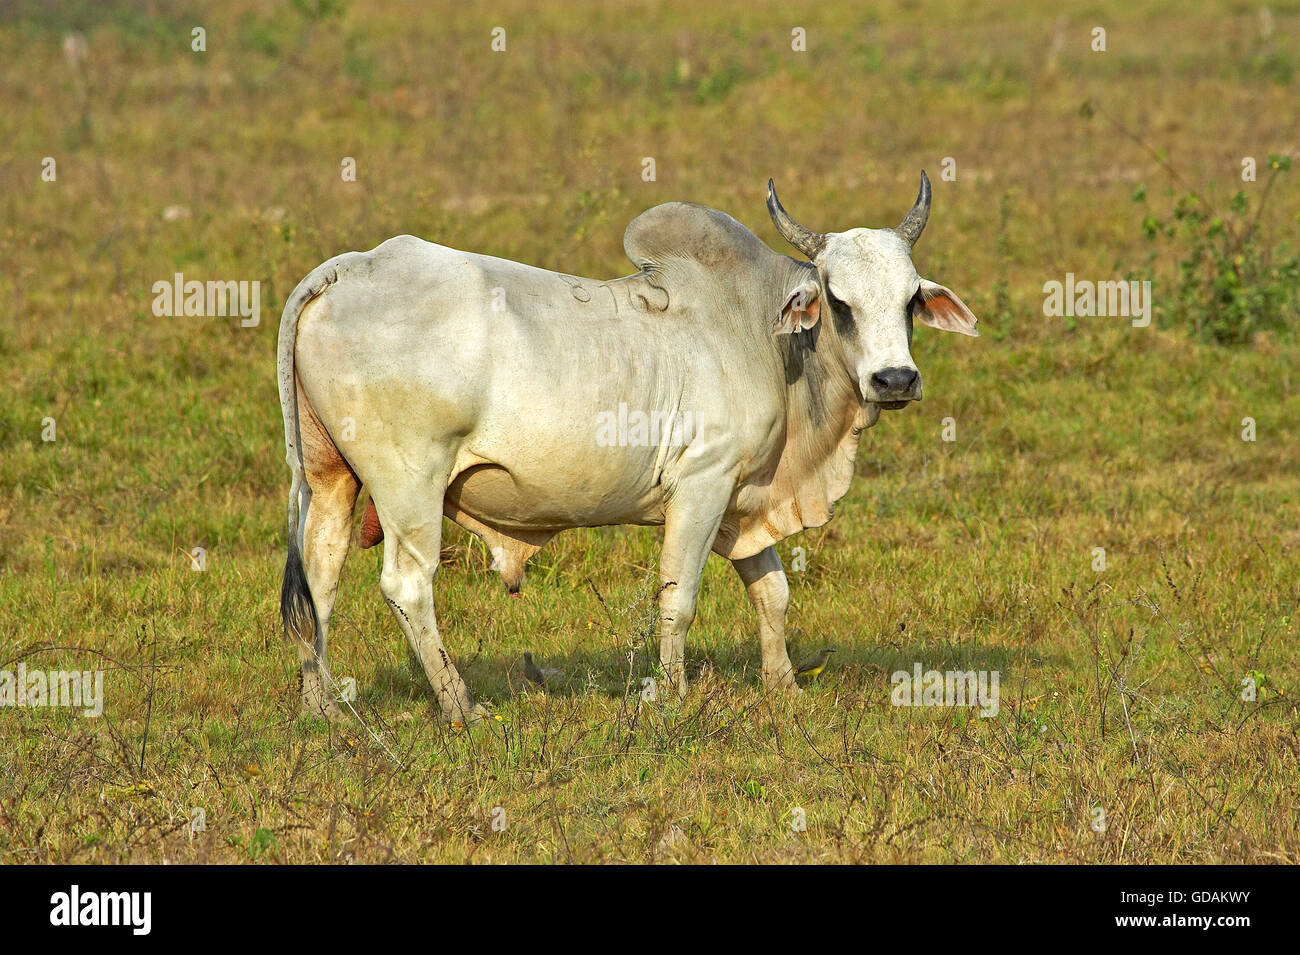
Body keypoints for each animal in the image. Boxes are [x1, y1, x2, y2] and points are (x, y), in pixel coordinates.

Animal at [278, 172, 978, 723]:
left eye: (911, 298)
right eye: (838, 299)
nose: (895, 379)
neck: (760, 333)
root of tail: (349, 266)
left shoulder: (743, 497)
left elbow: (773, 593)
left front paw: (782, 687)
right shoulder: (703, 485)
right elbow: (678, 597)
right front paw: (670, 696)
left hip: (330, 477)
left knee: (320, 578)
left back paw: (322, 709)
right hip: (410, 484)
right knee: (407, 586)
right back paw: (461, 705)